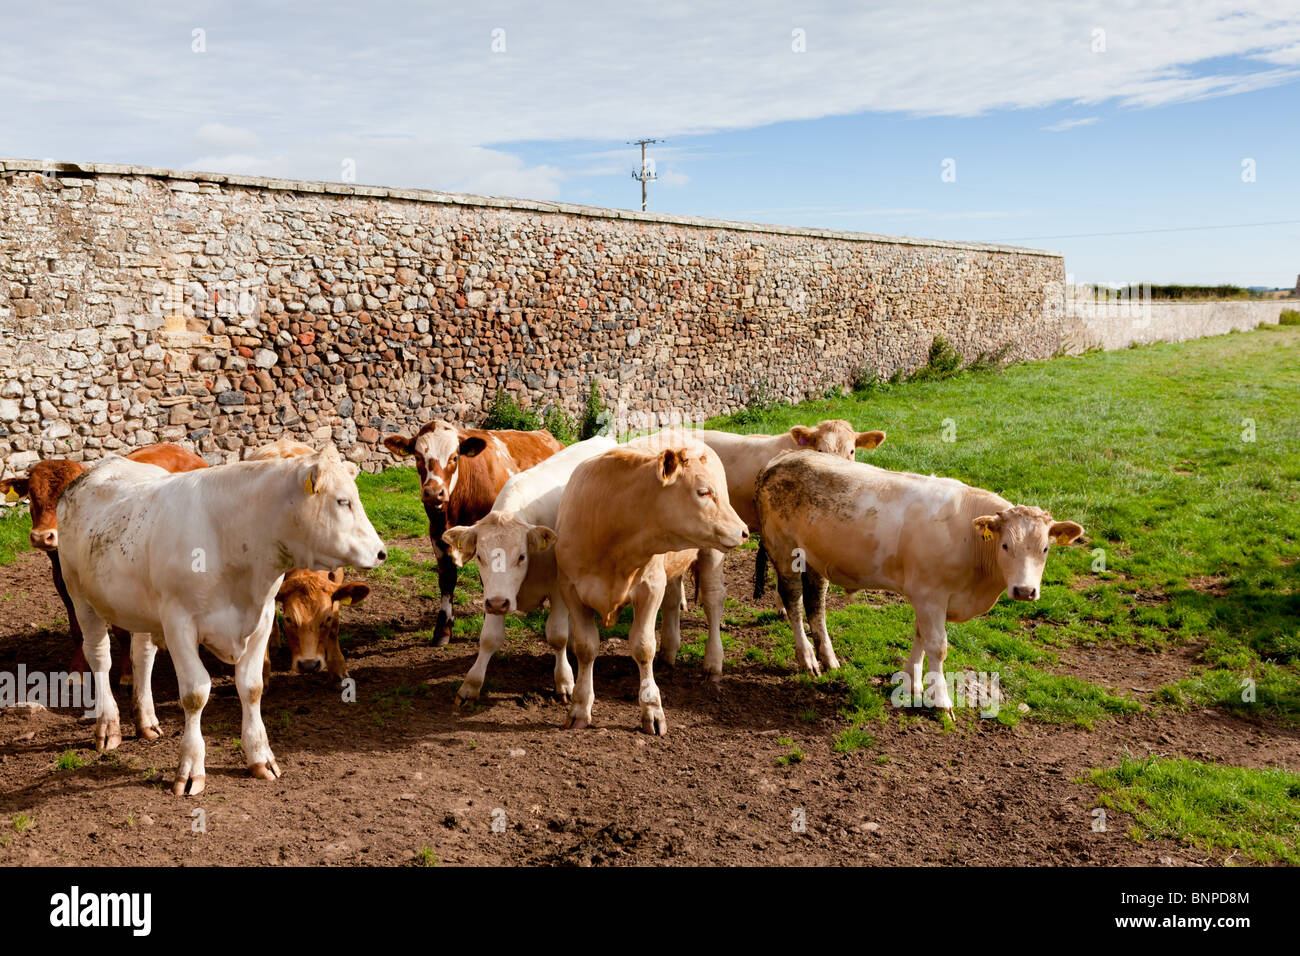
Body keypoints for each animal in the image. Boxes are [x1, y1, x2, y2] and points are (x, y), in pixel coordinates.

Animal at [1, 443, 207, 687]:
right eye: (32, 495)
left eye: (63, 496)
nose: (42, 537)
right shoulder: (63, 583)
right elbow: (77, 630)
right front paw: (77, 672)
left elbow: (122, 631)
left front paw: (127, 673)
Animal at [382, 421, 562, 645]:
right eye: (417, 457)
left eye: (454, 457)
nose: (434, 493)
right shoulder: (436, 534)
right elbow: (447, 579)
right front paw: (443, 630)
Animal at [442, 435, 617, 707]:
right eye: (480, 556)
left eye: (521, 556)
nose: (498, 603)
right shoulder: (494, 591)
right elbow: (489, 638)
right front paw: (471, 685)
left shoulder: (558, 588)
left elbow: (557, 635)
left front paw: (564, 681)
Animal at [554, 437, 748, 735]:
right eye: (703, 492)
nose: (744, 531)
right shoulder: (571, 590)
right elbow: (586, 648)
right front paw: (579, 708)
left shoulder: (650, 588)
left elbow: (643, 647)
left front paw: (652, 710)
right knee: (673, 600)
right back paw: (670, 650)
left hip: (711, 553)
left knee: (714, 601)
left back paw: (713, 663)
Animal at [755, 450, 1084, 716]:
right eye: (1005, 545)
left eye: (1045, 548)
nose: (1025, 591)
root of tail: (781, 459)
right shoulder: (930, 596)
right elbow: (937, 646)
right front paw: (941, 701)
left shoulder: (928, 597)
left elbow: (920, 637)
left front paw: (912, 685)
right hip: (785, 551)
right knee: (793, 600)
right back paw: (808, 658)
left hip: (814, 559)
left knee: (815, 603)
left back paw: (829, 658)